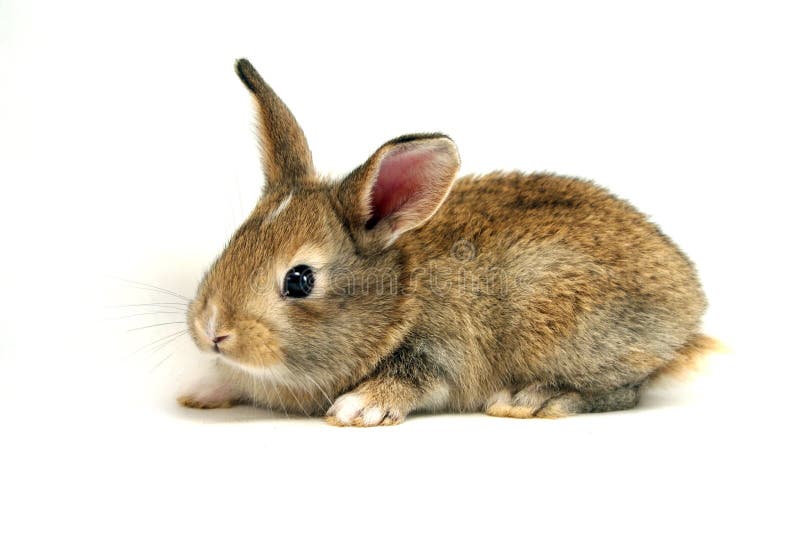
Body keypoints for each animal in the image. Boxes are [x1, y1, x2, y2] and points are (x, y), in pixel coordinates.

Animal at [178, 58, 715, 426]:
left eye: (300, 280)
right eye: (232, 244)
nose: (213, 330)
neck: (400, 295)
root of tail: (690, 309)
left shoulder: (443, 349)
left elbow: (415, 376)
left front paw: (358, 407)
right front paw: (201, 391)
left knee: (624, 389)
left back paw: (533, 399)